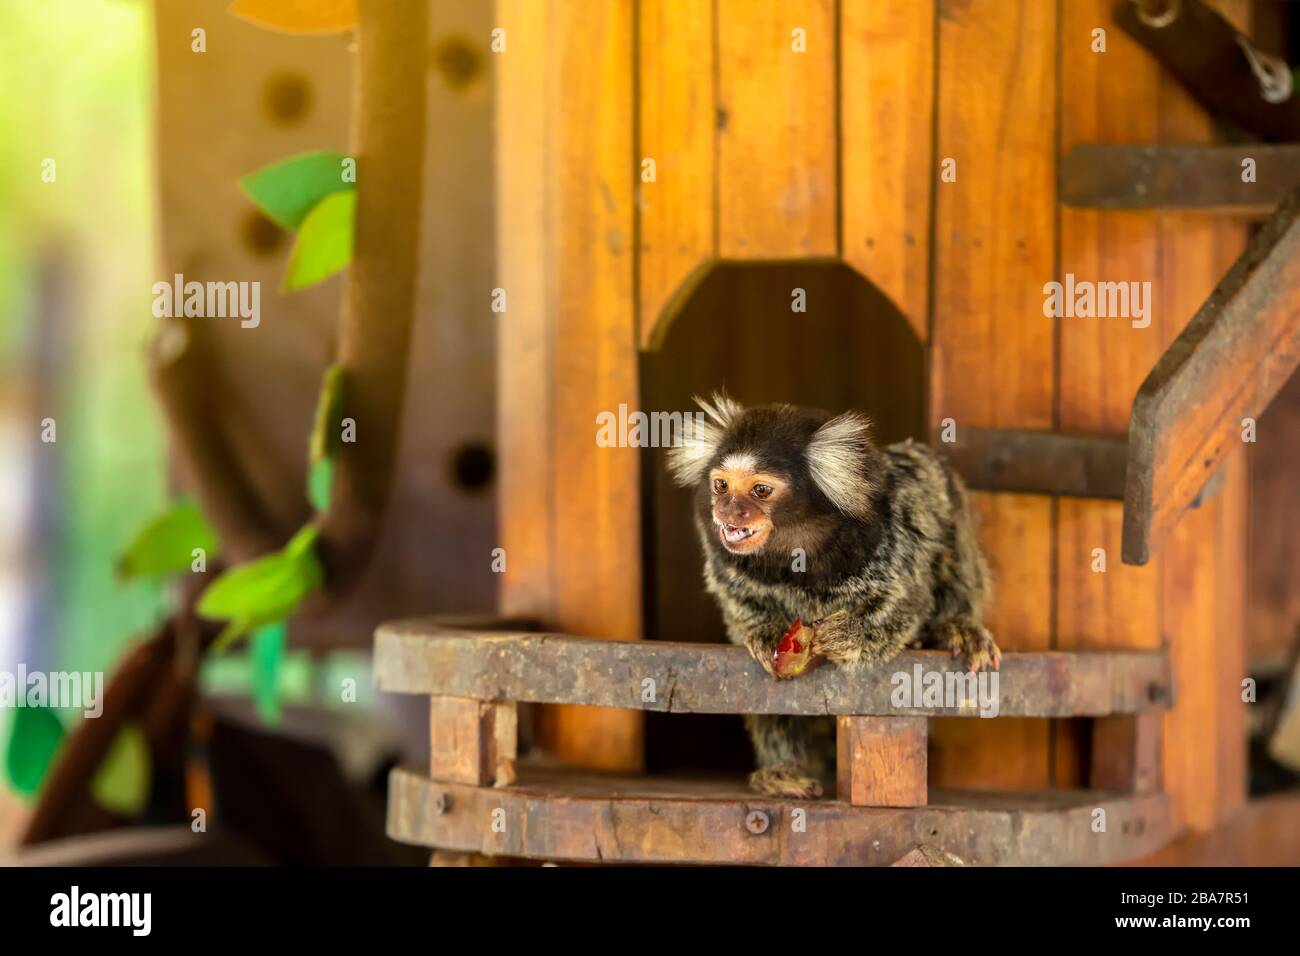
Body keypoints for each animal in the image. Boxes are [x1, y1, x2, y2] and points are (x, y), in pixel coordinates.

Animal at [666, 393, 999, 799]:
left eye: (760, 490)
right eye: (721, 485)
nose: (728, 512)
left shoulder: (899, 531)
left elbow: (904, 604)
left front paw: (844, 635)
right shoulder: (726, 565)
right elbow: (742, 605)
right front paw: (765, 633)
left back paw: (955, 627)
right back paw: (783, 770)